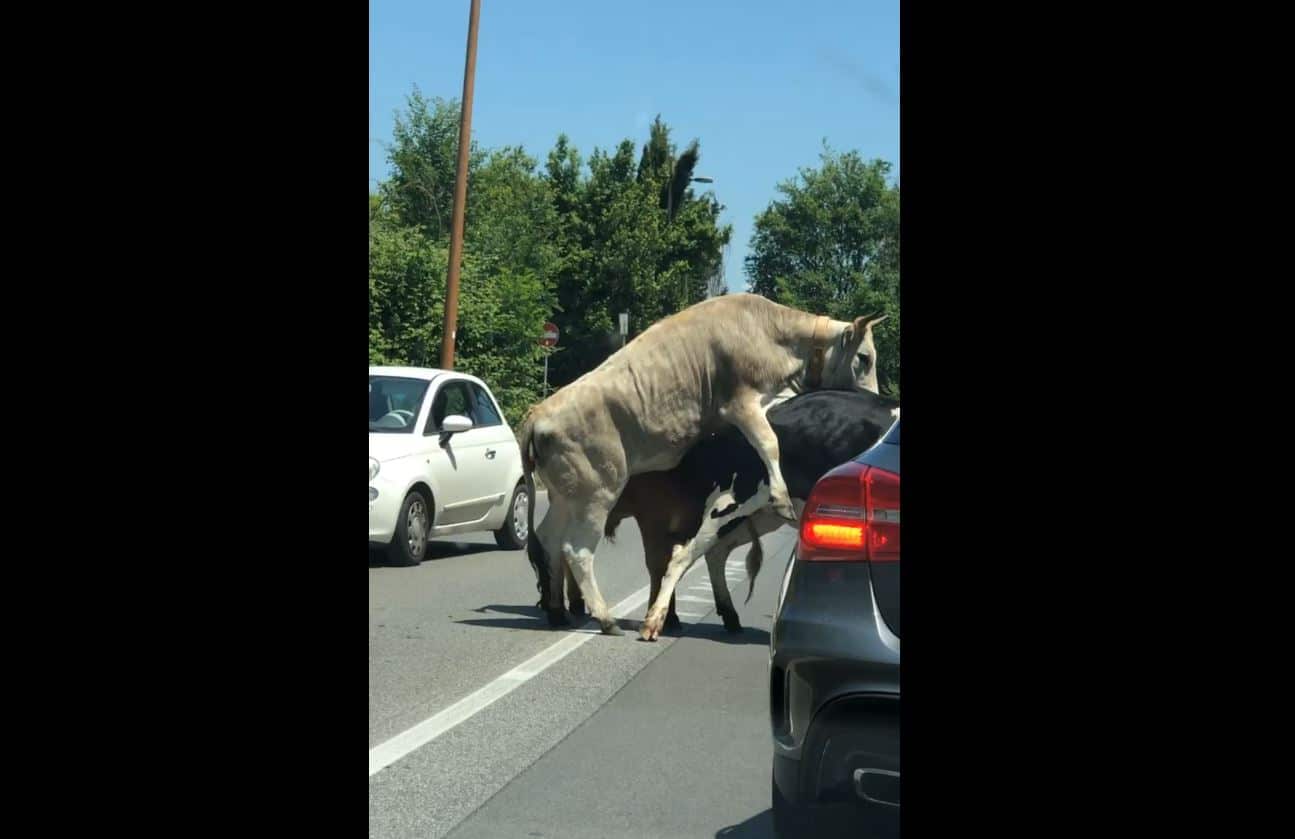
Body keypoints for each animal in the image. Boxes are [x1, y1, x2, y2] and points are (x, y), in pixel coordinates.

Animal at [518, 293, 886, 635]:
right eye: (864, 358)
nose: (877, 398)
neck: (768, 332)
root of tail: (538, 413)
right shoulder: (740, 402)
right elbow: (770, 442)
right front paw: (781, 498)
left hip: (567, 497)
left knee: (548, 541)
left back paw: (557, 611)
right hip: (598, 492)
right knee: (576, 550)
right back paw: (606, 619)